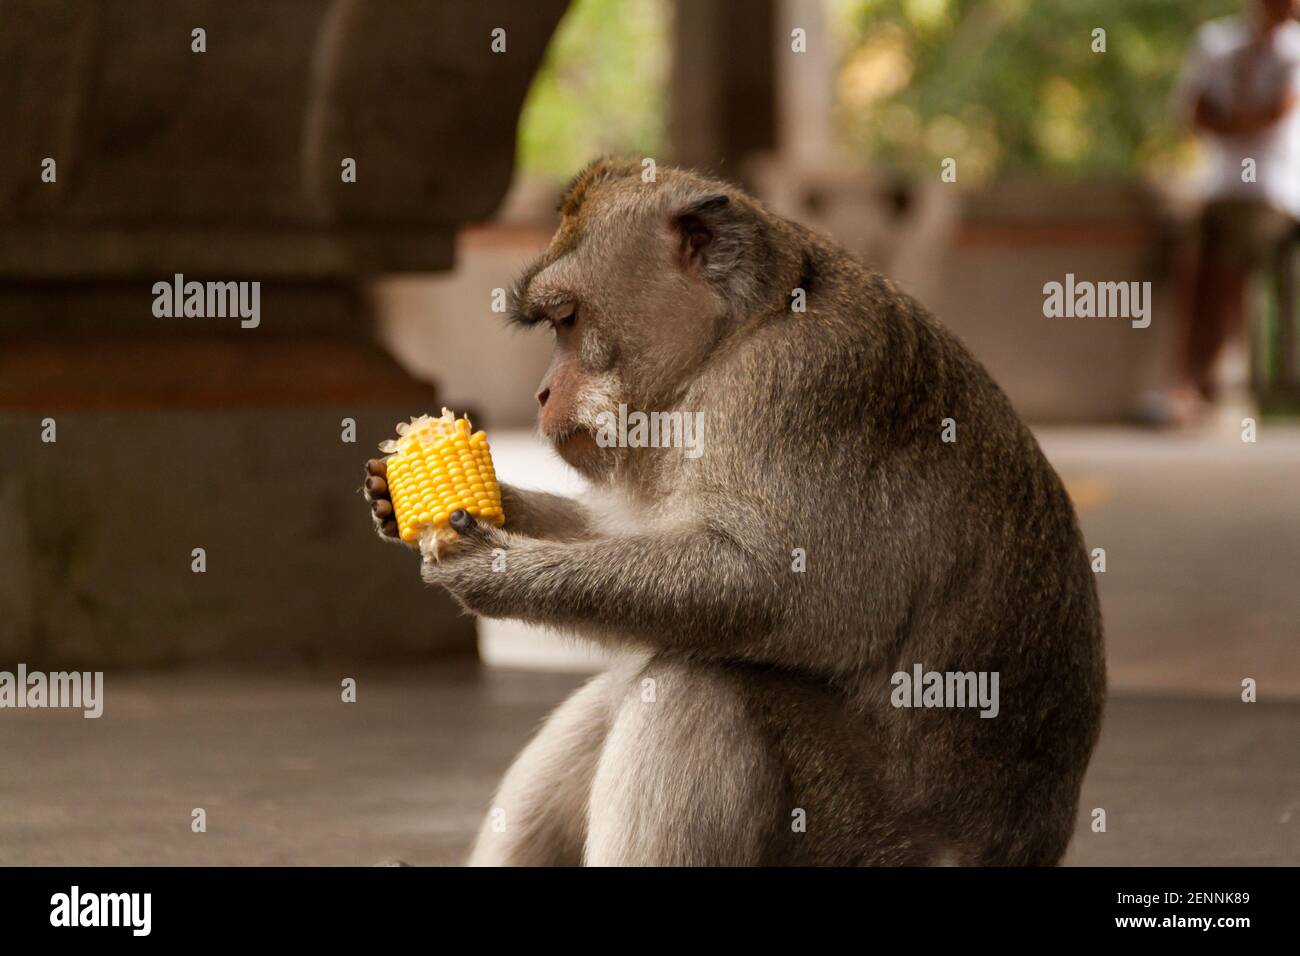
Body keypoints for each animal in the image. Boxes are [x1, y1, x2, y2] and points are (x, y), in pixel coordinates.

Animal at [363, 158, 1106, 866]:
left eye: (567, 320)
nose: (542, 391)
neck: (741, 330)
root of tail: (1026, 846)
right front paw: (468, 499)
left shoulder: (791, 388)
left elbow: (775, 588)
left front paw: (496, 570)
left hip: (866, 839)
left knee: (697, 683)